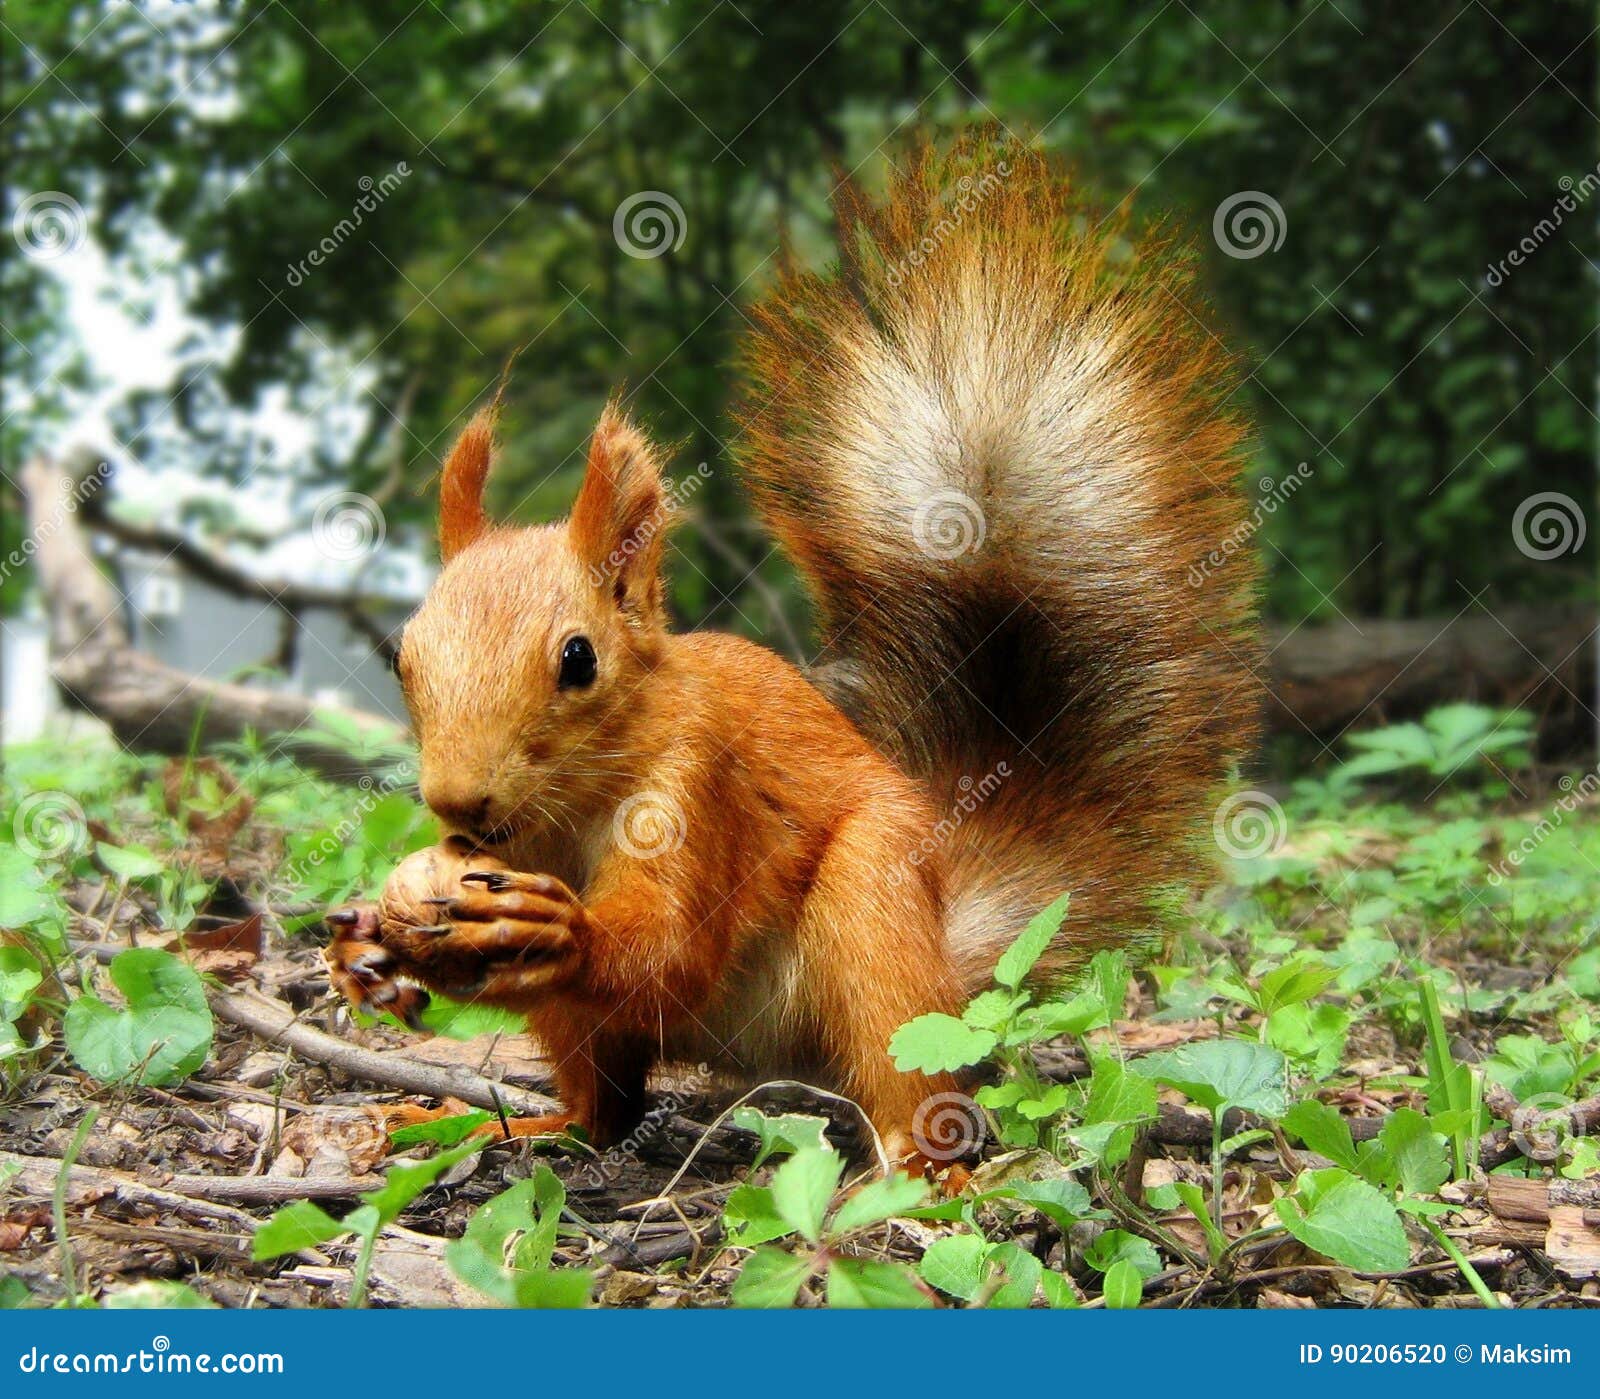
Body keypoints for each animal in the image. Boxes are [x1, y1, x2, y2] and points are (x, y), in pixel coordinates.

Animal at [325, 136, 1260, 1166]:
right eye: (402, 659)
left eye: (578, 659)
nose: (458, 800)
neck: (571, 804)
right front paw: (359, 945)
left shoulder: (703, 785)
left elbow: (668, 950)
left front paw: (556, 931)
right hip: (595, 1033)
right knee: (605, 1110)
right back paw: (509, 1119)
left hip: (873, 912)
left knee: (905, 1076)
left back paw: (915, 1173)